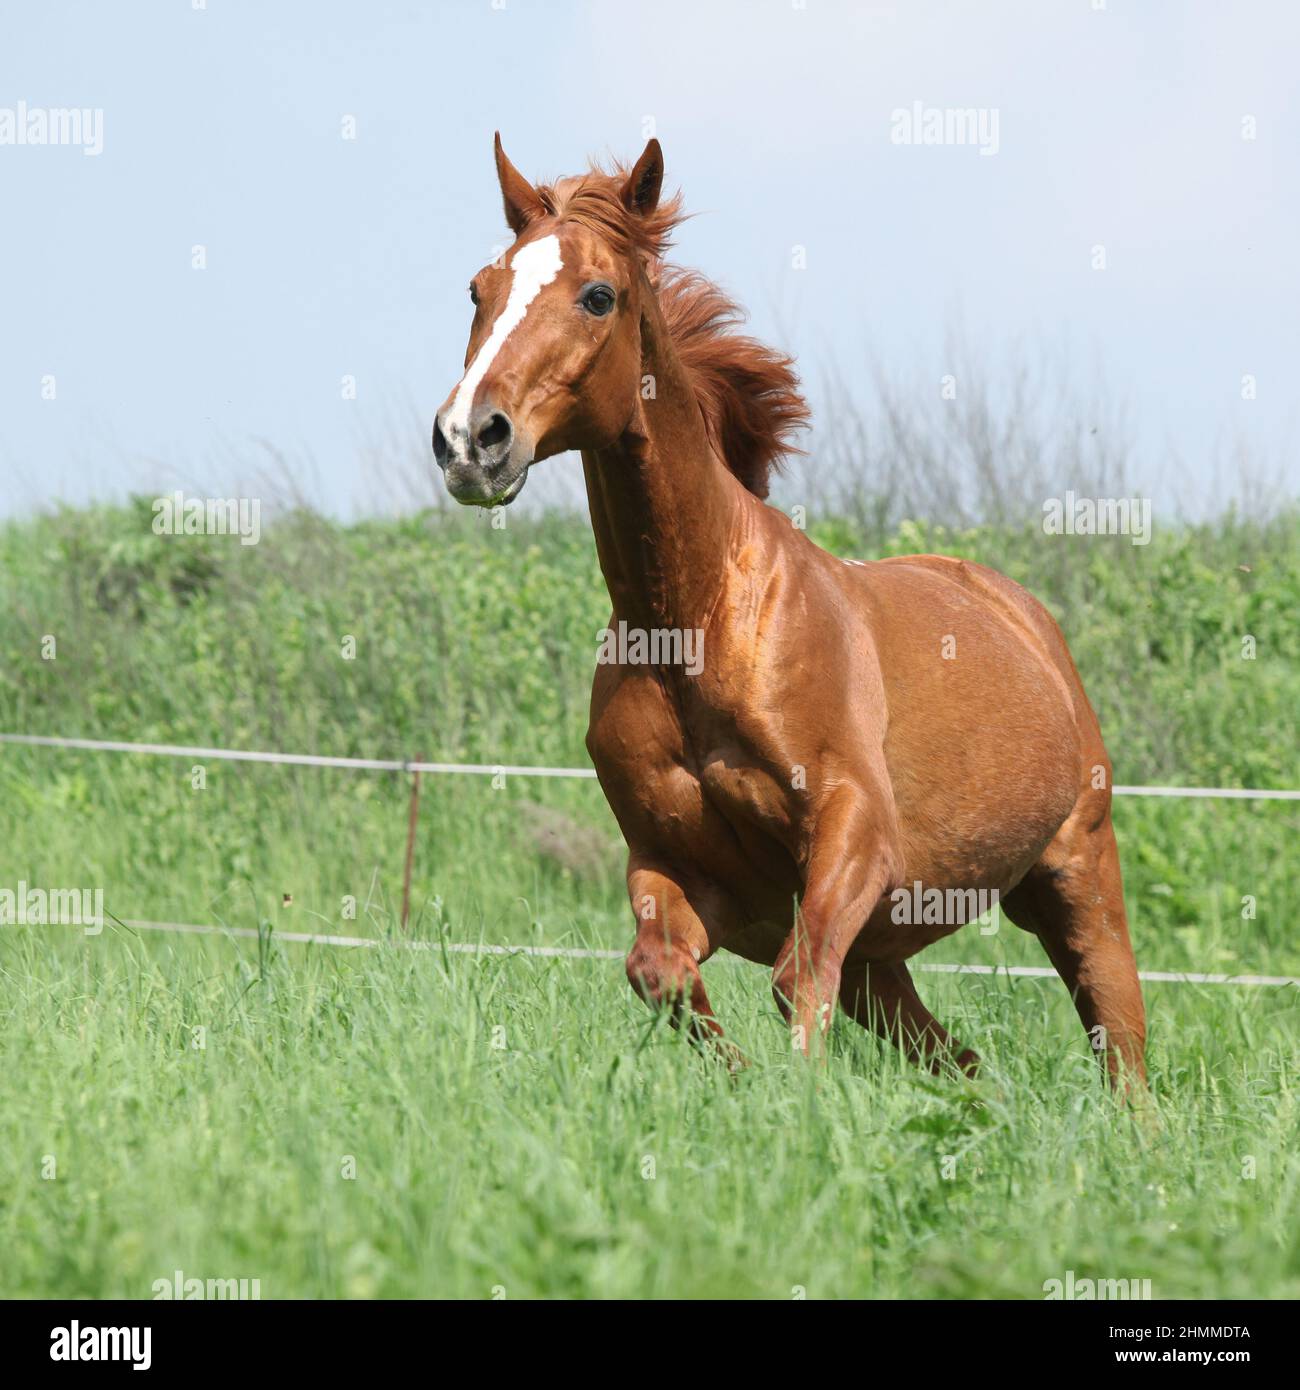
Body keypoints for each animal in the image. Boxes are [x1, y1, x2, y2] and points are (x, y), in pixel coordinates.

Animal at [432, 135, 1147, 1089]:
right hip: (885, 964)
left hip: (1077, 877)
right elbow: (659, 972)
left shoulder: (854, 836)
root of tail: (1021, 612)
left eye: (597, 295)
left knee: (1121, 1046)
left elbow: (794, 979)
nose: (469, 440)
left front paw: (793, 1099)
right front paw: (739, 1085)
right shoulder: (677, 869)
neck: (696, 627)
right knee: (958, 1058)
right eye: (480, 289)